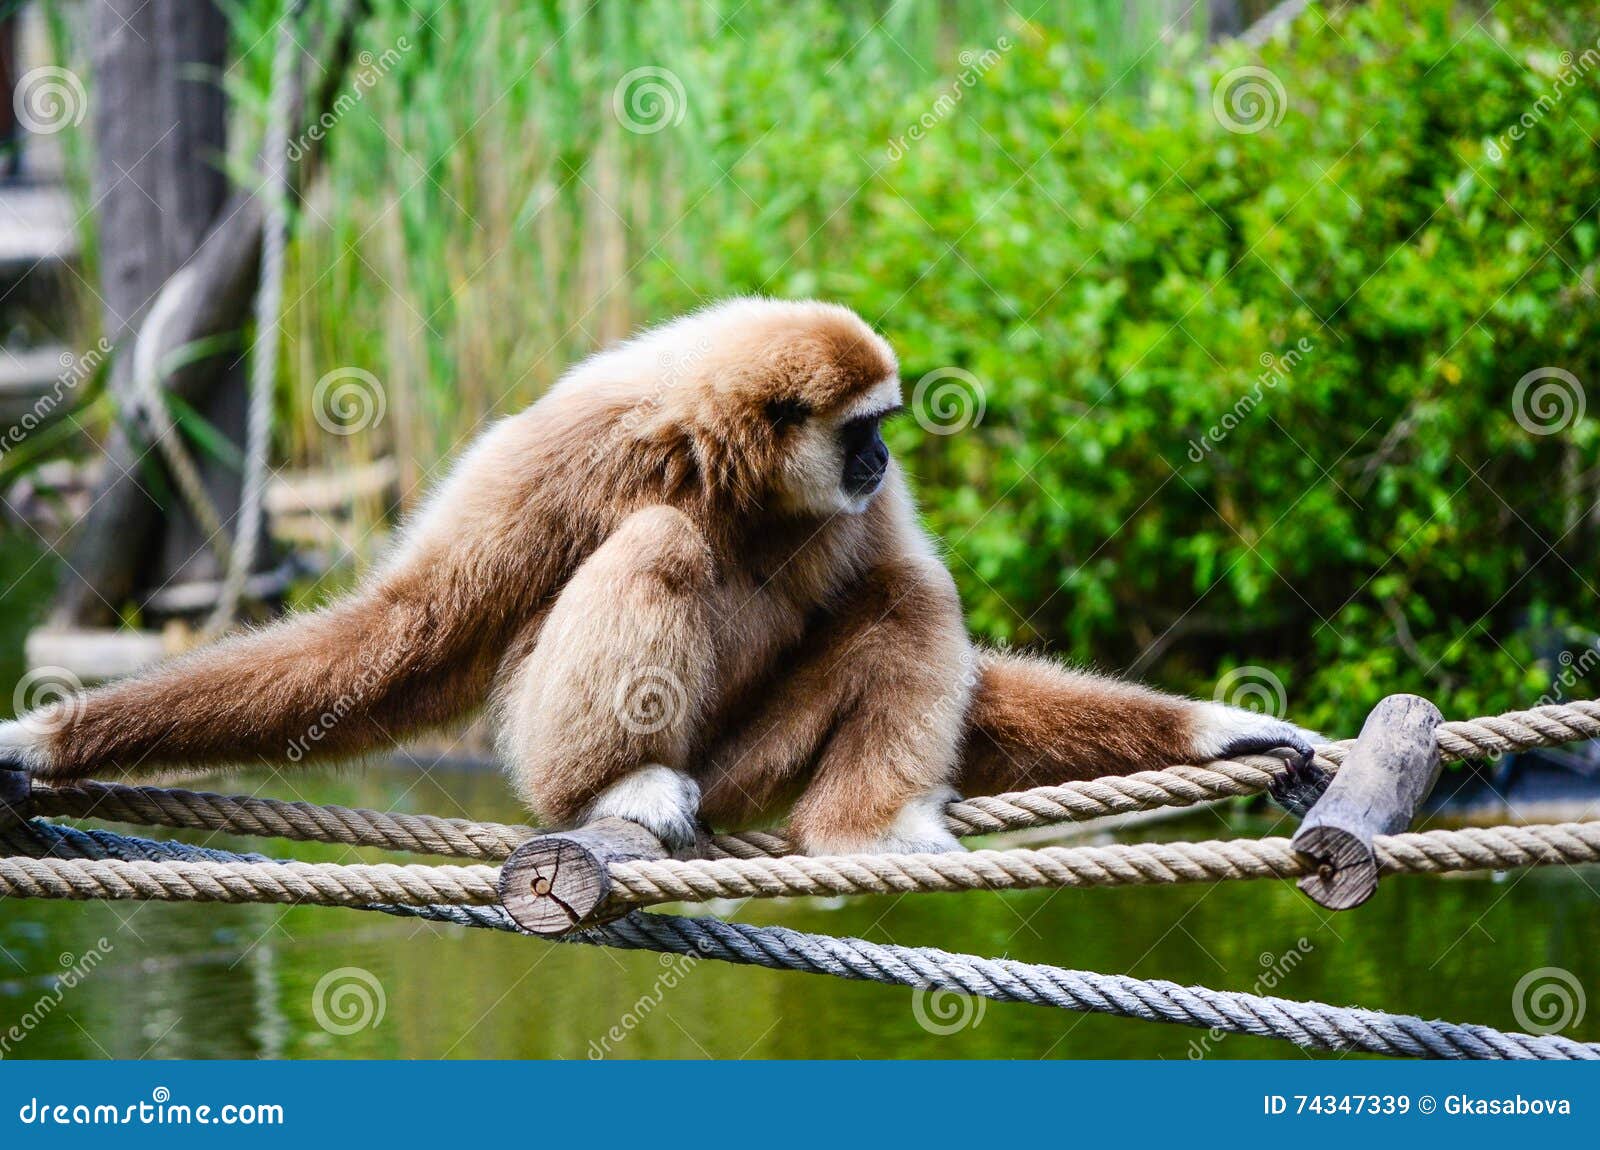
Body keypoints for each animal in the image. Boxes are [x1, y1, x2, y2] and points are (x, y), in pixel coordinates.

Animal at [0, 298, 1316, 855]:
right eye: (866, 426)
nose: (886, 455)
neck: (714, 454)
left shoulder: (865, 509)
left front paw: (1226, 728)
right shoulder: (569, 437)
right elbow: (411, 636)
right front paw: (45, 741)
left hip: (747, 766)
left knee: (900, 599)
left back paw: (864, 827)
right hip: (546, 748)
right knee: (657, 546)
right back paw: (615, 790)